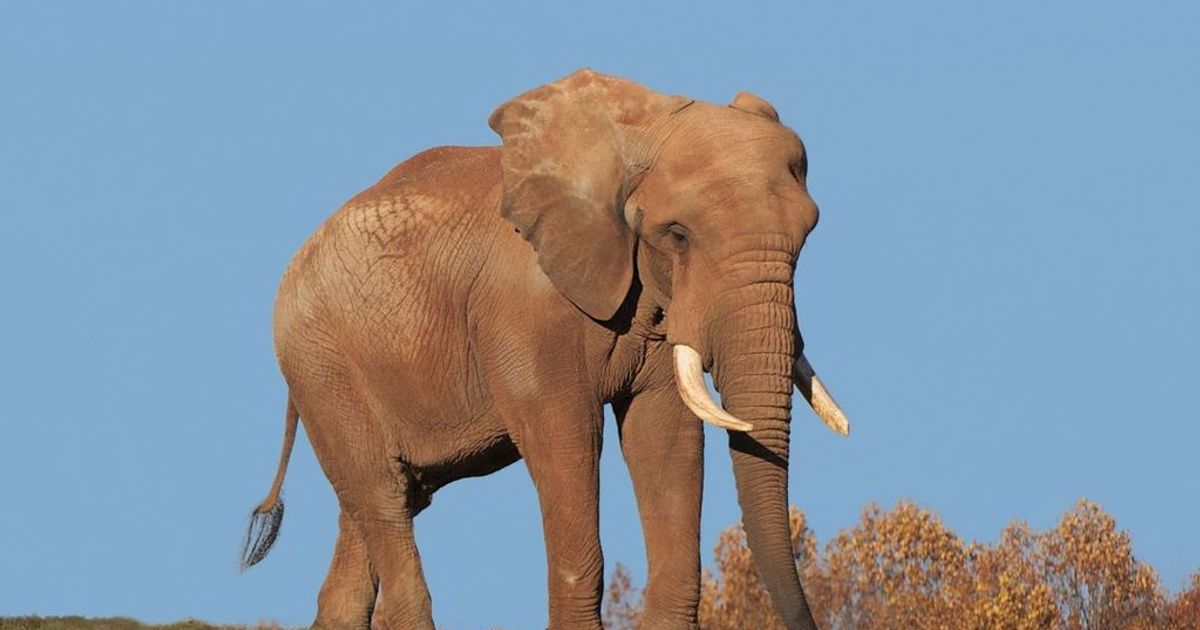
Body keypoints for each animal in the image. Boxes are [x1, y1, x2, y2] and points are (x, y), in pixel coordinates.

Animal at [242, 68, 850, 630]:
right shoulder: (524, 312)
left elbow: (664, 435)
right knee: (384, 498)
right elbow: (566, 439)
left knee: (374, 513)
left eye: (807, 233)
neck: (632, 131)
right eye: (678, 235)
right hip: (320, 364)